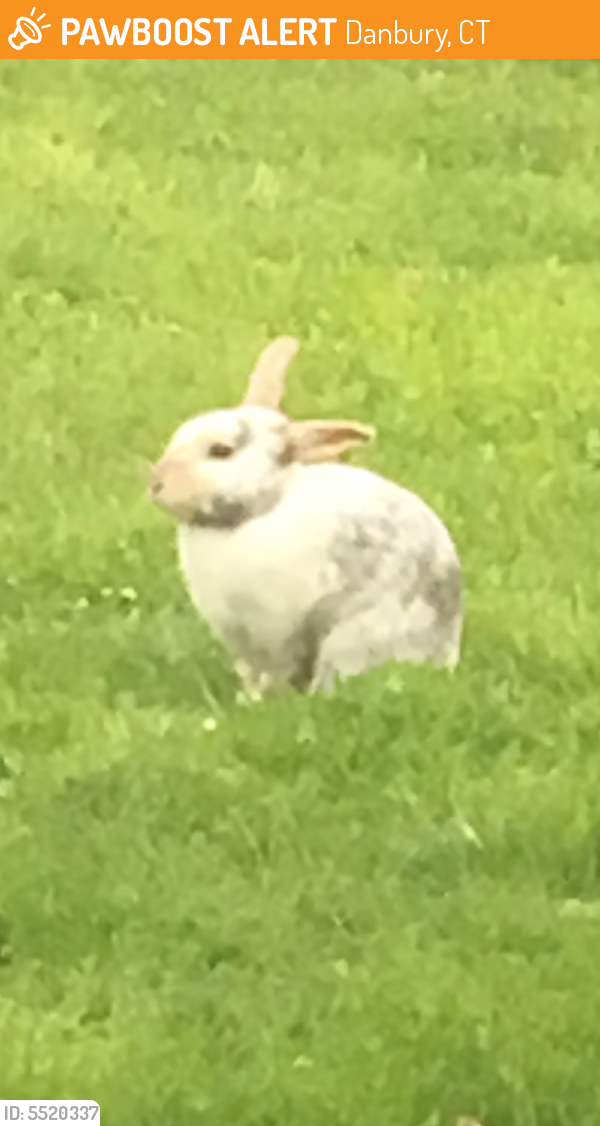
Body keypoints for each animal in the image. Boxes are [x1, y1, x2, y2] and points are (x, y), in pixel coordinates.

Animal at [149, 337, 462, 695]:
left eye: (221, 451)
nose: (156, 483)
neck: (255, 512)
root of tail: (444, 656)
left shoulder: (275, 631)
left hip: (350, 642)